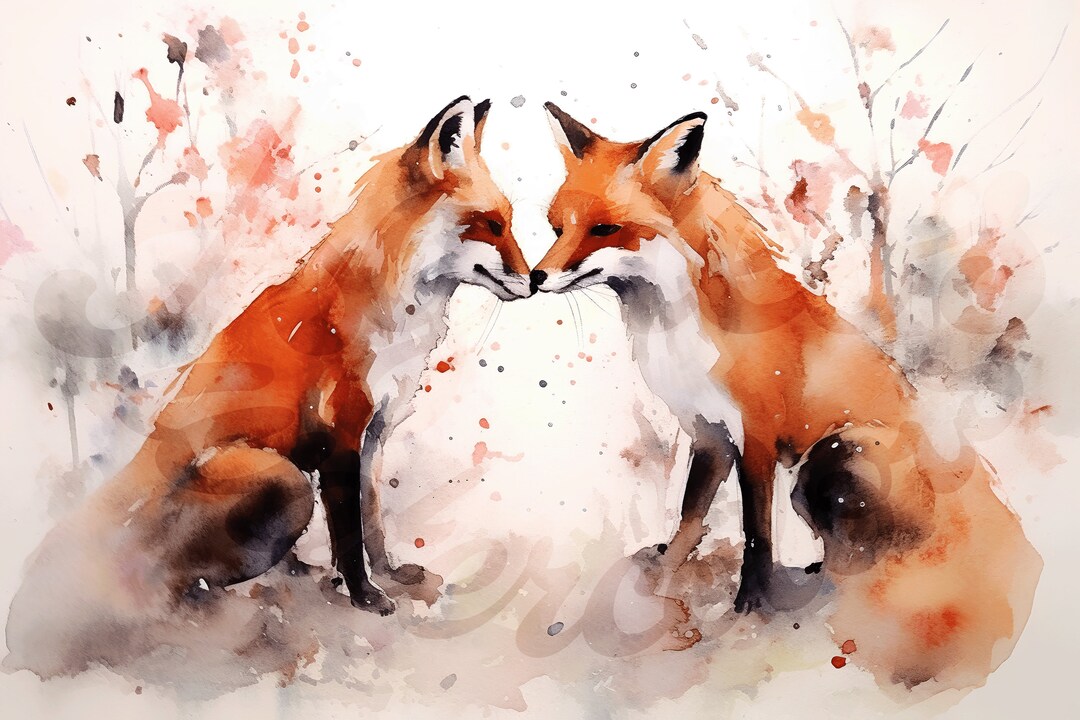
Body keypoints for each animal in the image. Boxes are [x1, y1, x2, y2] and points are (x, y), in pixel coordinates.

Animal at [7, 96, 532, 671]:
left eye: (507, 222)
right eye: (489, 224)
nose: (535, 281)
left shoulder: (373, 435)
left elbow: (373, 520)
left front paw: (389, 573)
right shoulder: (341, 436)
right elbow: (349, 532)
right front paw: (364, 595)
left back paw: (293, 569)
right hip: (283, 478)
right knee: (183, 576)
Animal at [531, 102, 1041, 688]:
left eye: (605, 229)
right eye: (557, 227)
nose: (535, 275)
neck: (675, 330)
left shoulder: (756, 436)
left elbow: (757, 535)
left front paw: (750, 606)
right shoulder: (707, 433)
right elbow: (690, 516)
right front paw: (663, 572)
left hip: (835, 453)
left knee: (872, 561)